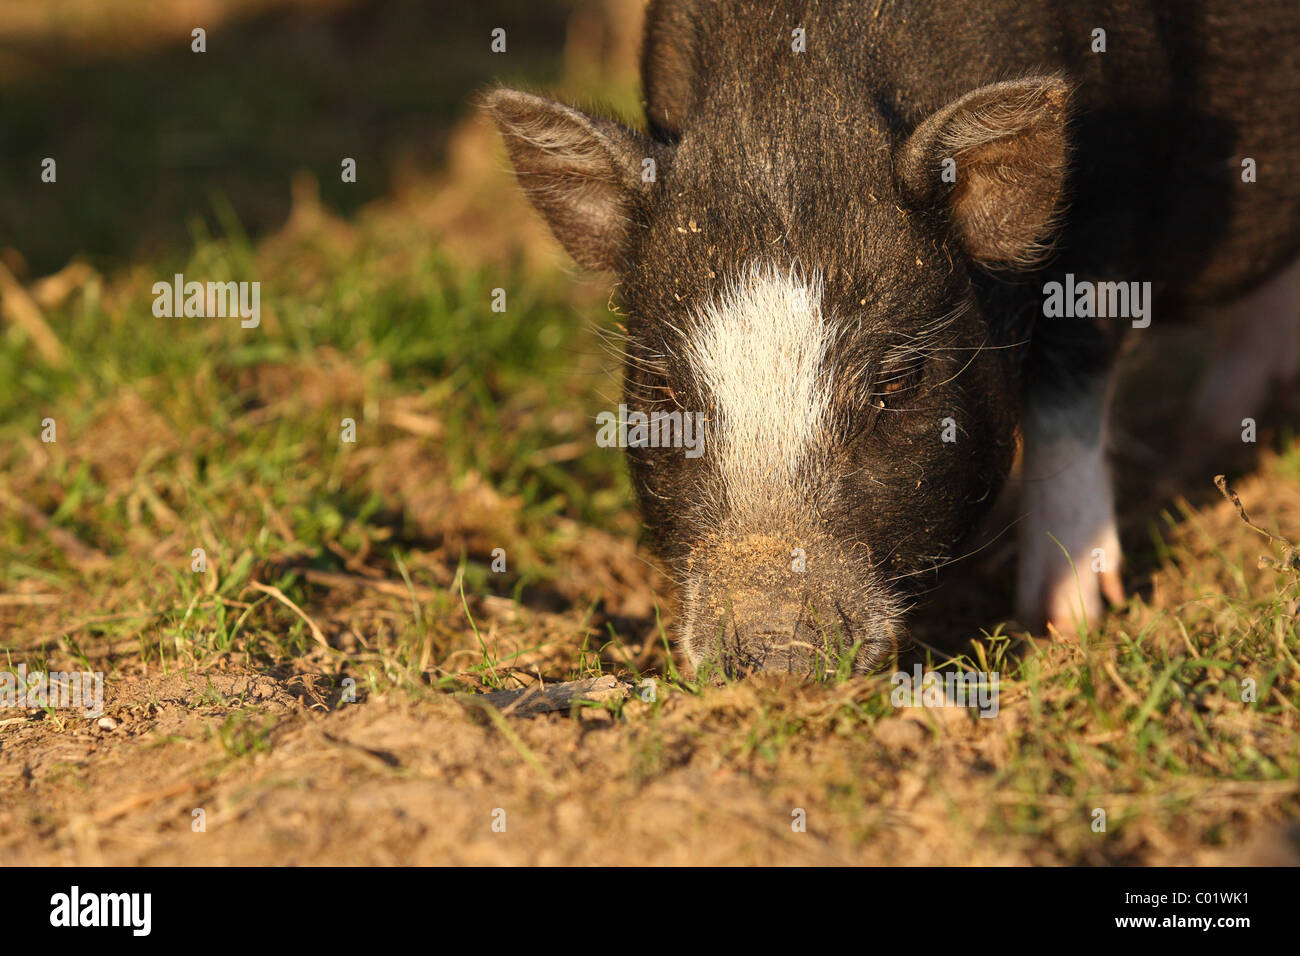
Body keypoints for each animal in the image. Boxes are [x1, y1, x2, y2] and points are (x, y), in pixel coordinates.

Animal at [483, 0, 1300, 678]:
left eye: (898, 382)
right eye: (663, 390)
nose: (775, 658)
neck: (795, 93)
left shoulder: (1111, 208)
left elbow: (1070, 385)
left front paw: (1065, 624)